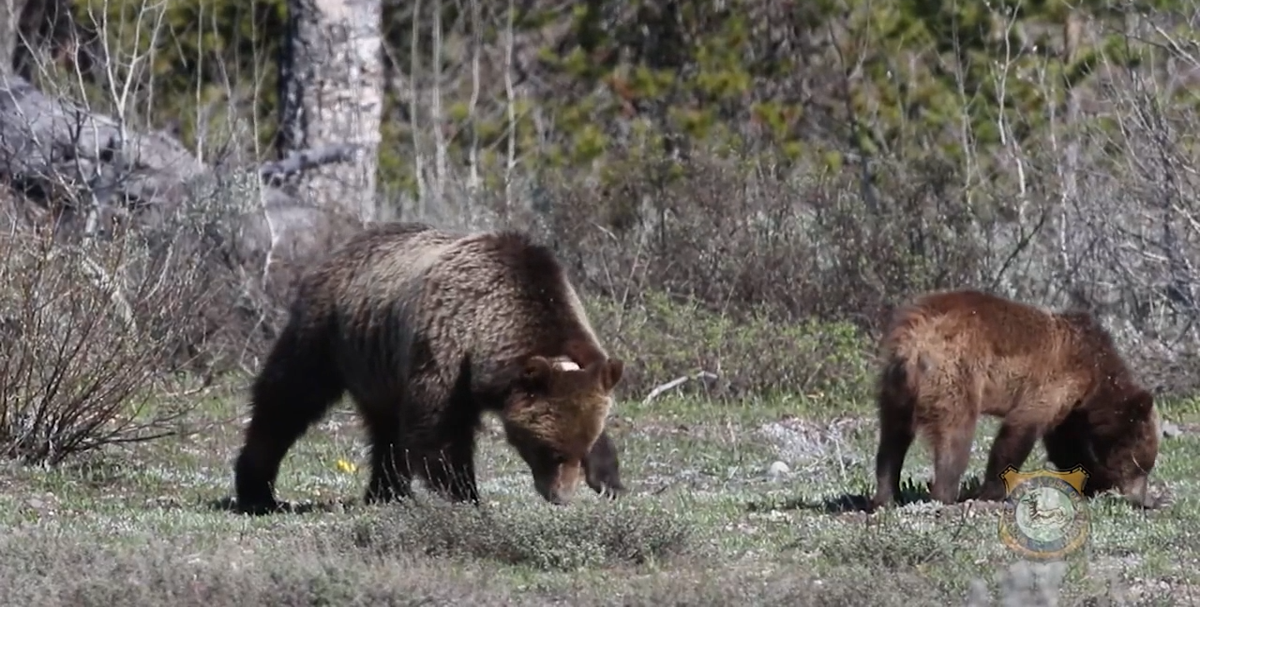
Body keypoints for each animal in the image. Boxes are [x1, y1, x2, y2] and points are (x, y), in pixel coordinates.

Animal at [232, 222, 627, 515]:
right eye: (550, 450)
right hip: (326, 334)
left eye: (579, 449)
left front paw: (610, 480)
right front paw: (466, 495)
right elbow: (438, 433)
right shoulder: (445, 353)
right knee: (287, 398)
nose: (561, 497)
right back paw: (256, 490)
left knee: (385, 430)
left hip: (380, 367)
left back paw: (386, 493)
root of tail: (342, 247)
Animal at [868, 289, 1165, 513]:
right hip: (953, 374)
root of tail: (913, 338)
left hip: (895, 387)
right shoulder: (1059, 379)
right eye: (1140, 465)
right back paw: (946, 496)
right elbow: (1020, 430)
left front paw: (1091, 483)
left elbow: (1066, 445)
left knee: (893, 439)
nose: (1142, 500)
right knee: (954, 437)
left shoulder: (1070, 408)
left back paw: (886, 496)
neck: (1097, 378)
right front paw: (993, 493)